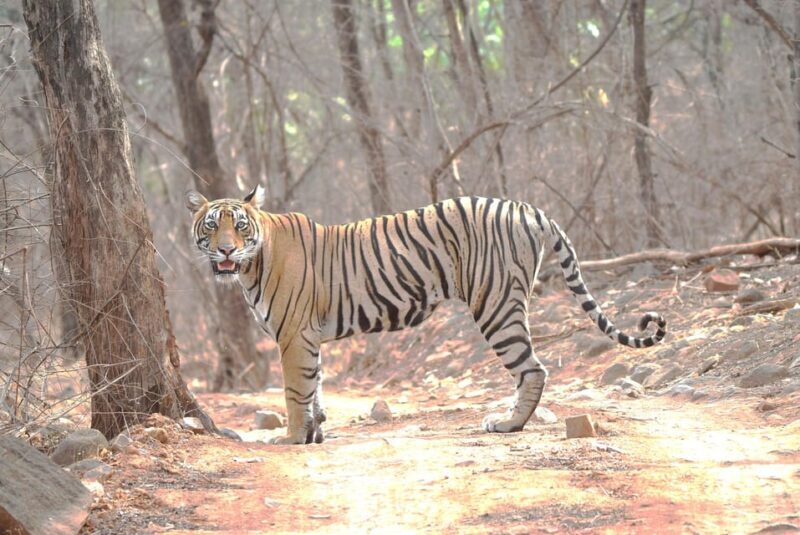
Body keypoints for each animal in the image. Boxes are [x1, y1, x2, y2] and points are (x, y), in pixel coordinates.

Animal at [186, 186, 667, 444]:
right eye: (212, 225)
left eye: (239, 226)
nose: (225, 250)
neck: (251, 265)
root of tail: (526, 207)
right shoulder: (309, 339)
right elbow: (315, 390)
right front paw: (315, 435)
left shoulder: (294, 336)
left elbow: (295, 393)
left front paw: (290, 438)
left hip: (495, 305)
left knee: (533, 368)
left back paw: (508, 424)